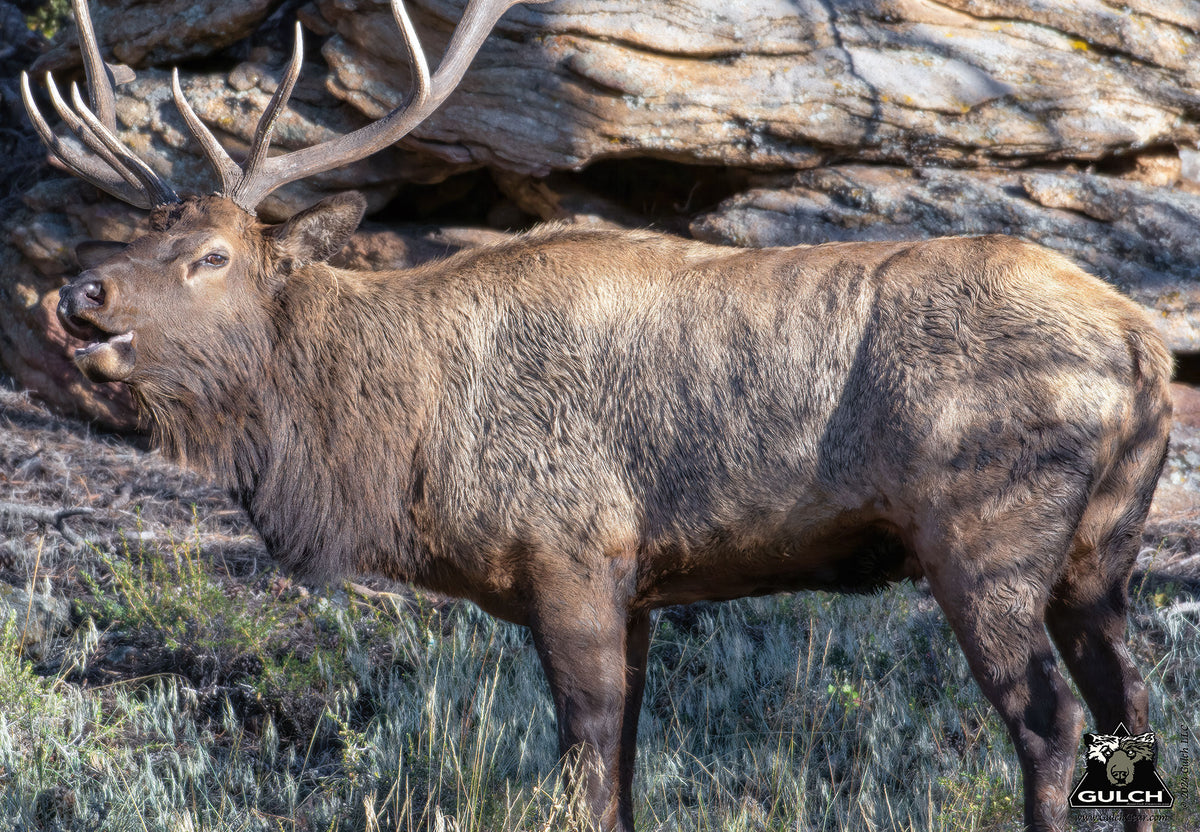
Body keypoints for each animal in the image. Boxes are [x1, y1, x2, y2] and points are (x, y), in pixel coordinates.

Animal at [23, 1, 1173, 830]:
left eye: (211, 256)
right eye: (137, 235)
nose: (80, 295)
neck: (401, 449)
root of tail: (1143, 344)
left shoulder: (572, 553)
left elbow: (585, 770)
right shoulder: (641, 586)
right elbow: (621, 775)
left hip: (987, 530)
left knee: (1052, 721)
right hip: (1102, 551)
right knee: (1130, 709)